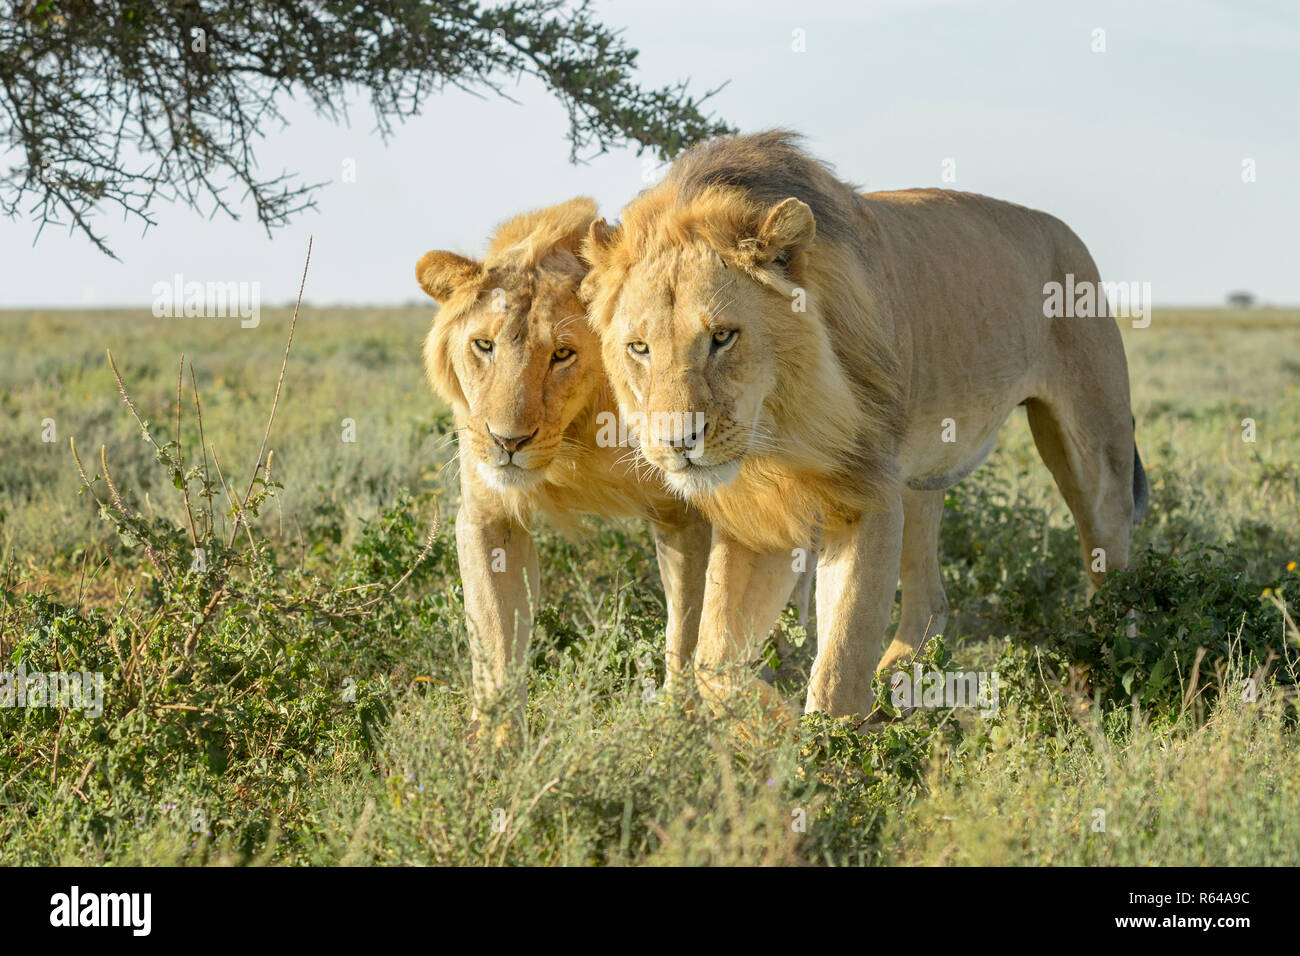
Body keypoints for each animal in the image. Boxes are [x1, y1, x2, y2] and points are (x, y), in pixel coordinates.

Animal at [416, 196, 814, 737]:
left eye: (562, 354)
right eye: (483, 345)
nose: (507, 441)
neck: (576, 433)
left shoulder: (685, 514)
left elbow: (686, 629)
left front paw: (676, 726)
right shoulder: (487, 514)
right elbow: (498, 646)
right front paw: (494, 750)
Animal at [582, 131, 1148, 720]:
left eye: (722, 337)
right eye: (639, 348)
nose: (677, 443)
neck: (775, 436)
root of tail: (1065, 231)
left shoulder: (865, 497)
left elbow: (838, 667)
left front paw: (819, 743)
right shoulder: (759, 520)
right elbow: (714, 666)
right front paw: (776, 726)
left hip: (1095, 452)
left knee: (1115, 571)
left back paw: (1099, 684)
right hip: (919, 475)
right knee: (932, 598)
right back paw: (896, 689)